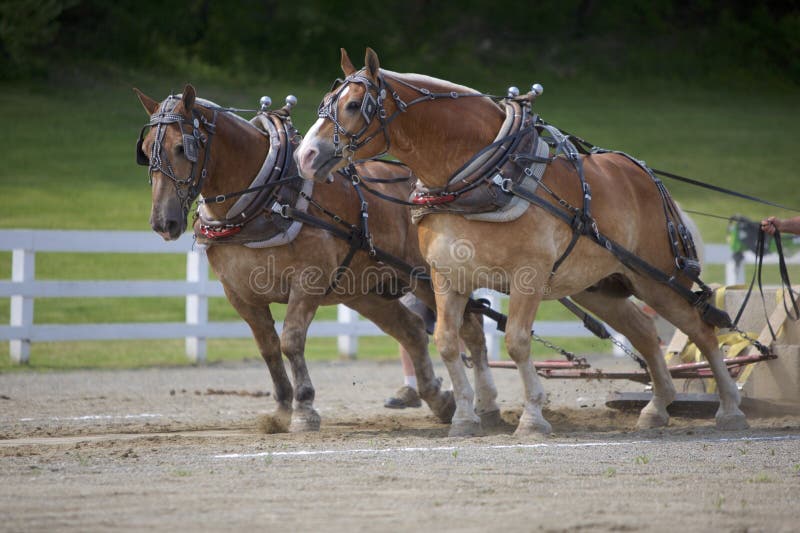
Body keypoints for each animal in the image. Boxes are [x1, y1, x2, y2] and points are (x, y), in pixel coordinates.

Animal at [134, 83, 503, 433]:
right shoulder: (240, 295)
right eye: (146, 150)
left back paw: (484, 408)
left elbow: (291, 341)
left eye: (182, 148)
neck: (268, 198)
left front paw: (304, 408)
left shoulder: (307, 282)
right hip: (363, 290)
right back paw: (439, 399)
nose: (163, 222)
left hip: (428, 277)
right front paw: (281, 409)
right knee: (411, 330)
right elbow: (268, 347)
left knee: (470, 329)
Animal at [295, 48, 749, 437]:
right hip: (600, 286)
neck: (484, 179)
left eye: (354, 105)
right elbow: (447, 341)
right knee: (644, 332)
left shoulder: (527, 277)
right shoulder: (447, 278)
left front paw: (532, 417)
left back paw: (730, 409)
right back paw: (657, 408)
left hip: (657, 278)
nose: (305, 156)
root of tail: (645, 175)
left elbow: (515, 341)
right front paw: (465, 417)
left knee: (701, 328)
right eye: (326, 102)